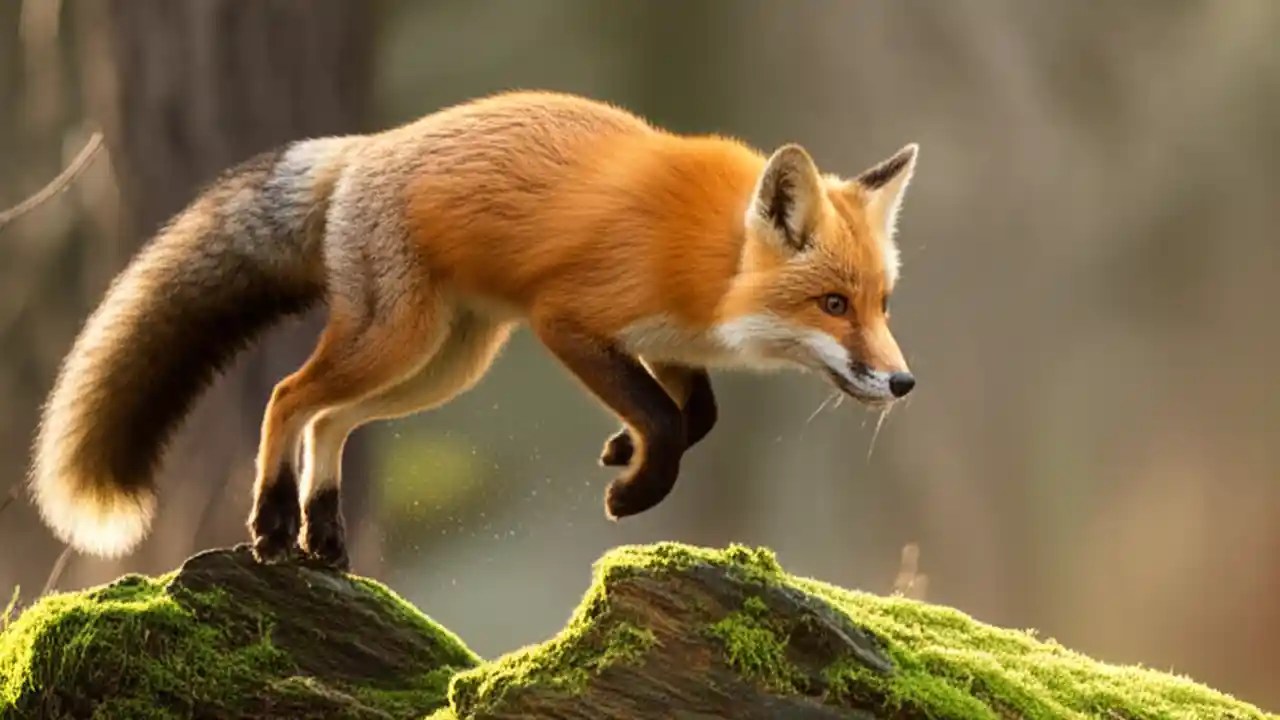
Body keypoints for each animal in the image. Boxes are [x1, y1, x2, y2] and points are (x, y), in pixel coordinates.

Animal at [30, 90, 920, 570]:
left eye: (882, 304)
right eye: (833, 304)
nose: (904, 381)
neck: (704, 259)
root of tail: (362, 148)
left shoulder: (660, 341)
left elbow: (695, 414)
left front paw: (623, 451)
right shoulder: (570, 321)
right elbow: (669, 420)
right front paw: (634, 489)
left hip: (443, 366)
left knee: (330, 420)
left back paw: (325, 532)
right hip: (399, 342)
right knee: (289, 397)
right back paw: (277, 522)